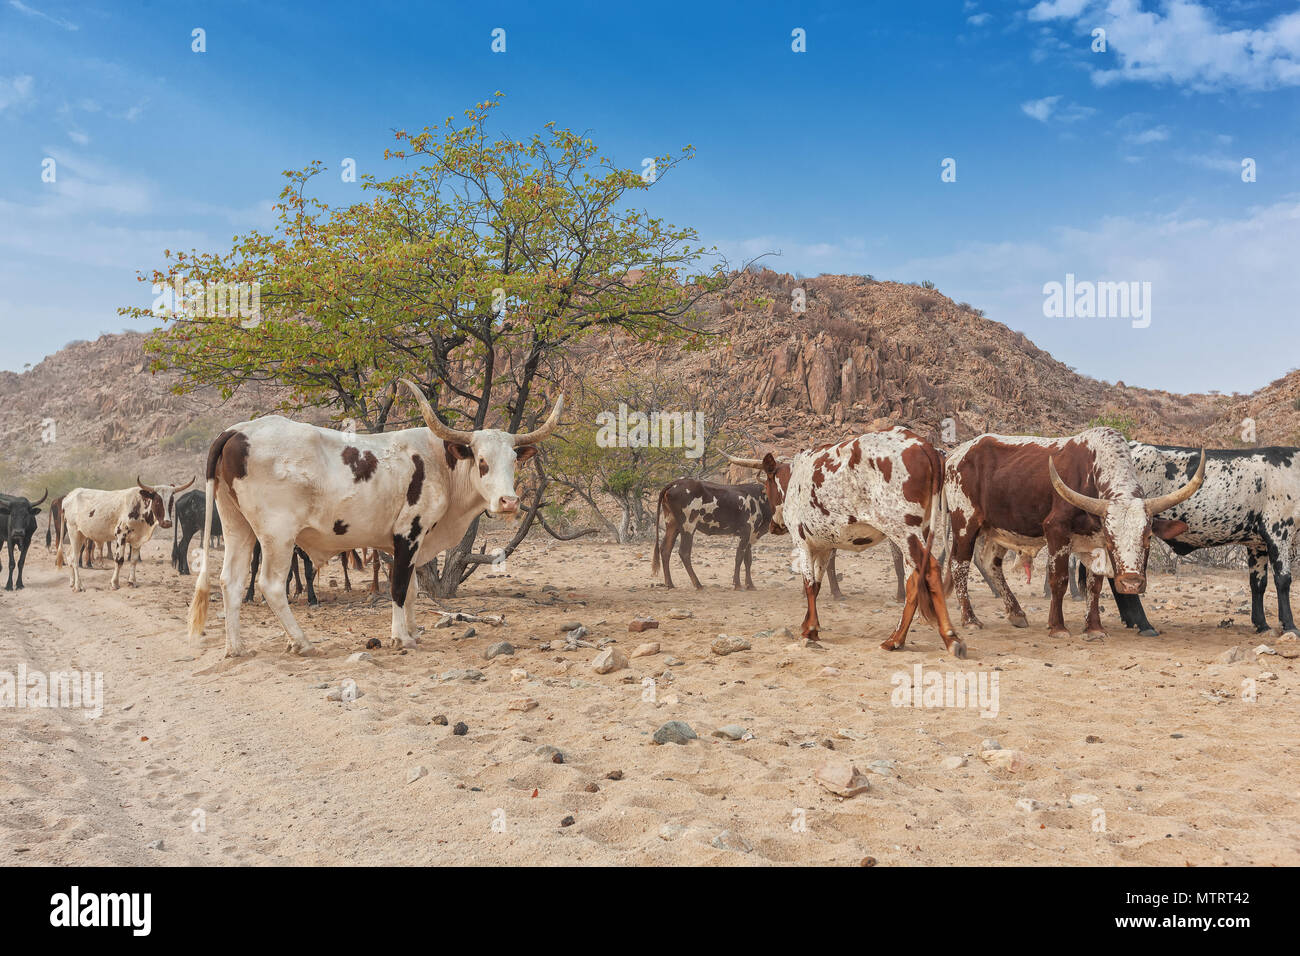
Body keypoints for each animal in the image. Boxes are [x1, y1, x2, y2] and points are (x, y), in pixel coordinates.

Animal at [188, 380, 563, 657]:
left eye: (513, 461)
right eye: (482, 461)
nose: (509, 501)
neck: (438, 463)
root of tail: (236, 431)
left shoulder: (413, 545)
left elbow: (412, 589)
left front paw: (412, 631)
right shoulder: (407, 535)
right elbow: (398, 587)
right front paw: (401, 638)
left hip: (236, 526)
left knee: (231, 581)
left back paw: (236, 647)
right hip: (277, 535)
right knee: (270, 585)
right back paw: (302, 642)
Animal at [728, 428, 963, 656]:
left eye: (766, 487)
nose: (774, 526)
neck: (795, 479)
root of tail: (924, 446)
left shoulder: (802, 542)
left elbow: (808, 584)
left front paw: (810, 629)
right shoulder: (824, 547)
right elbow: (817, 585)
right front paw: (811, 626)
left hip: (904, 531)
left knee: (930, 569)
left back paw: (950, 637)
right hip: (915, 532)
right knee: (913, 580)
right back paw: (895, 640)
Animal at [944, 427, 1205, 640]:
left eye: (1148, 536)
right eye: (1112, 538)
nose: (1131, 583)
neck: (1093, 470)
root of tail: (956, 454)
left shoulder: (1094, 541)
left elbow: (1094, 585)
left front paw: (1094, 628)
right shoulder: (1056, 530)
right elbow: (1059, 579)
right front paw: (1057, 627)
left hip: (999, 528)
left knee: (991, 563)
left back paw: (1016, 613)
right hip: (965, 522)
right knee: (959, 564)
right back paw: (970, 619)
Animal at [1105, 443, 1300, 637]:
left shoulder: (1257, 544)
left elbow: (1258, 583)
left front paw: (1261, 624)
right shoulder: (1279, 533)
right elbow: (1283, 580)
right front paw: (1289, 625)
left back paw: (1131, 621)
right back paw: (1144, 624)